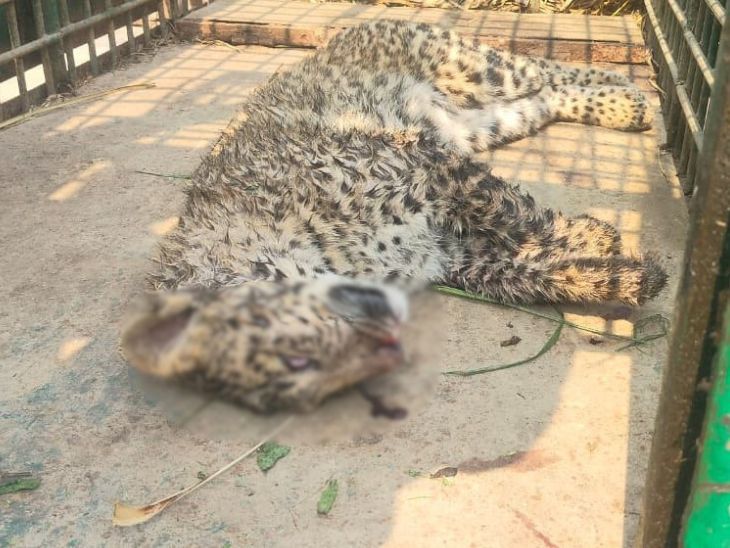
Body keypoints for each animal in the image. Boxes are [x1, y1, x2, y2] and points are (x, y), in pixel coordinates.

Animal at [120, 20, 667, 413]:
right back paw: (621, 103)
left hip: (472, 69)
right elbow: (527, 271)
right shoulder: (450, 255)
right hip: (488, 120)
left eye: (297, 355)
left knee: (542, 68)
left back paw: (626, 92)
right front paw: (623, 276)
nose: (379, 353)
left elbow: (517, 214)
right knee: (544, 99)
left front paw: (594, 235)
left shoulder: (431, 167)